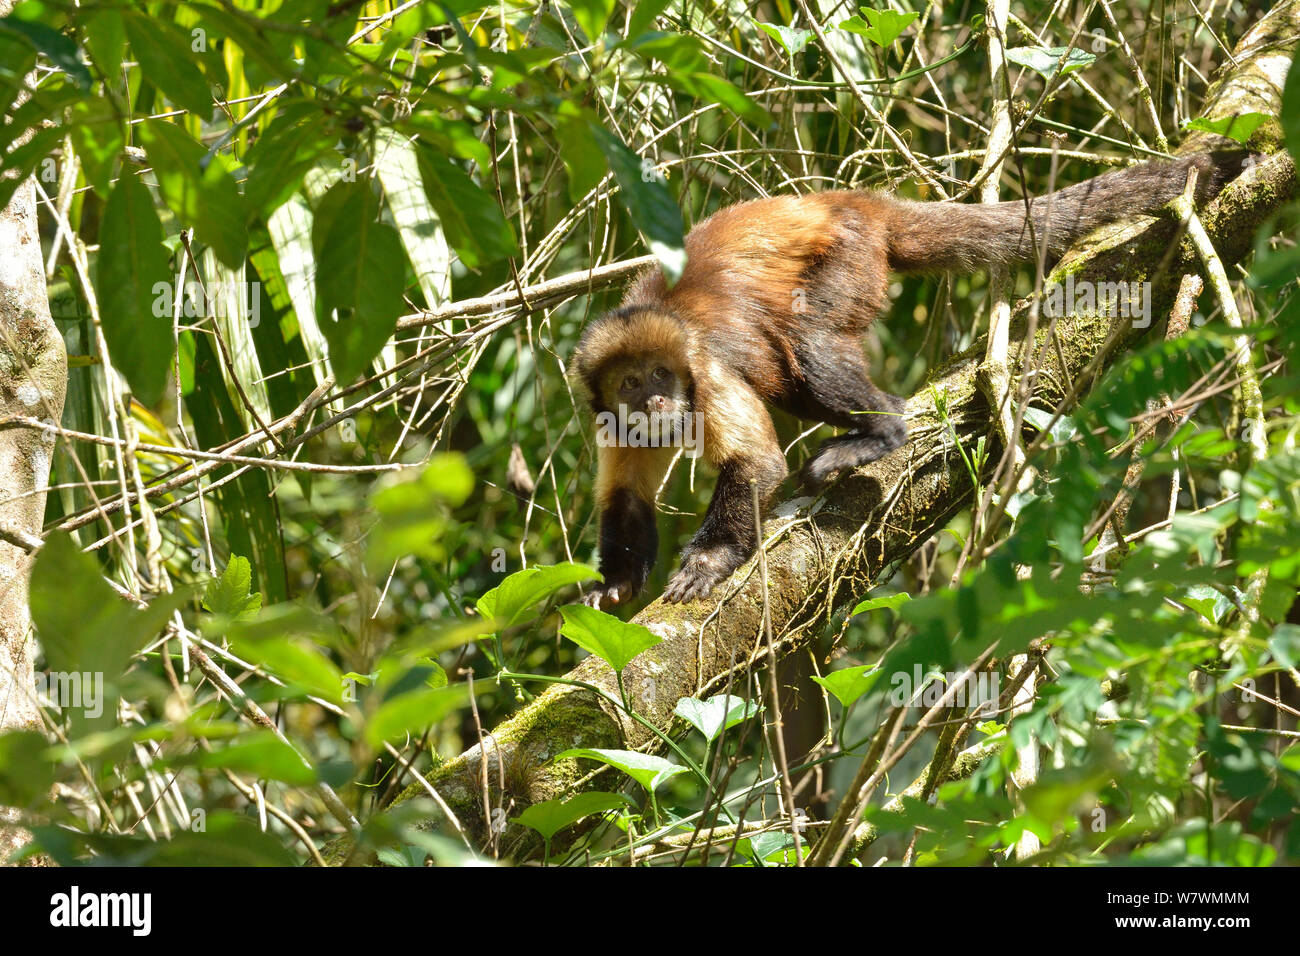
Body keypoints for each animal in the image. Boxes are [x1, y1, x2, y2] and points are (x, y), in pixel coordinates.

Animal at [572, 151, 1245, 608]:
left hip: (848, 256)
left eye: (661, 373)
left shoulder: (704, 372)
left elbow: (757, 464)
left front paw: (709, 559)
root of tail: (853, 200)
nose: (658, 399)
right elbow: (625, 495)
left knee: (810, 344)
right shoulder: (612, 415)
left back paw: (880, 433)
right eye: (631, 384)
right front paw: (616, 582)